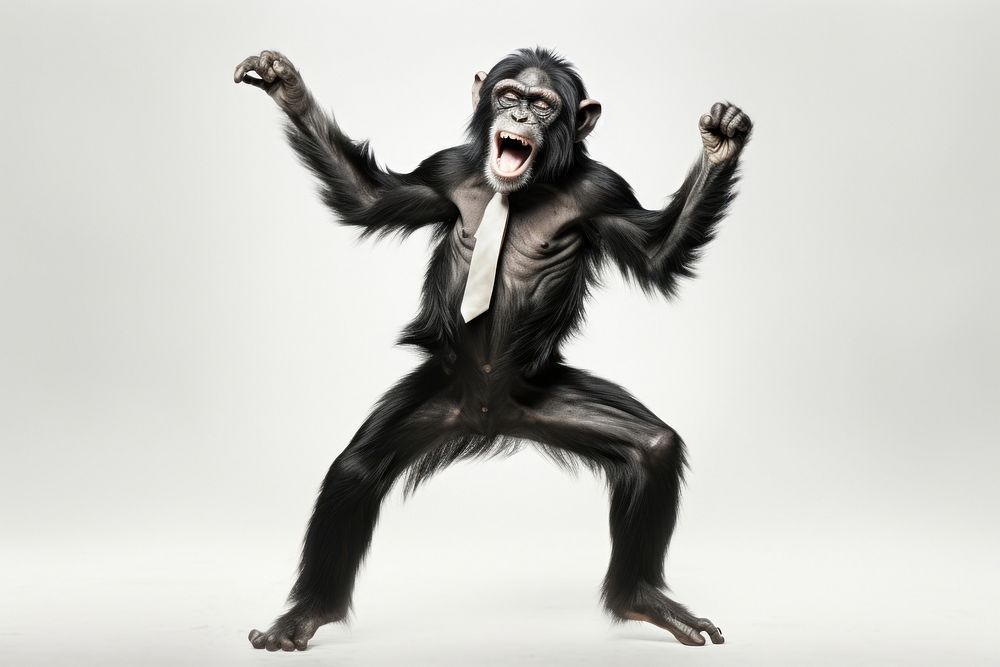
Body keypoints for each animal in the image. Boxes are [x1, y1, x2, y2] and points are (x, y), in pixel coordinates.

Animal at [234, 46, 751, 652]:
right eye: (508, 96)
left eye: (543, 104)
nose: (521, 117)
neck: (519, 190)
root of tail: (489, 418)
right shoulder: (444, 170)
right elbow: (372, 199)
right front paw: (284, 85)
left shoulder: (606, 191)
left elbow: (656, 253)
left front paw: (720, 143)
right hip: (441, 394)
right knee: (354, 473)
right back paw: (306, 615)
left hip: (538, 399)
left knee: (653, 449)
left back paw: (644, 600)